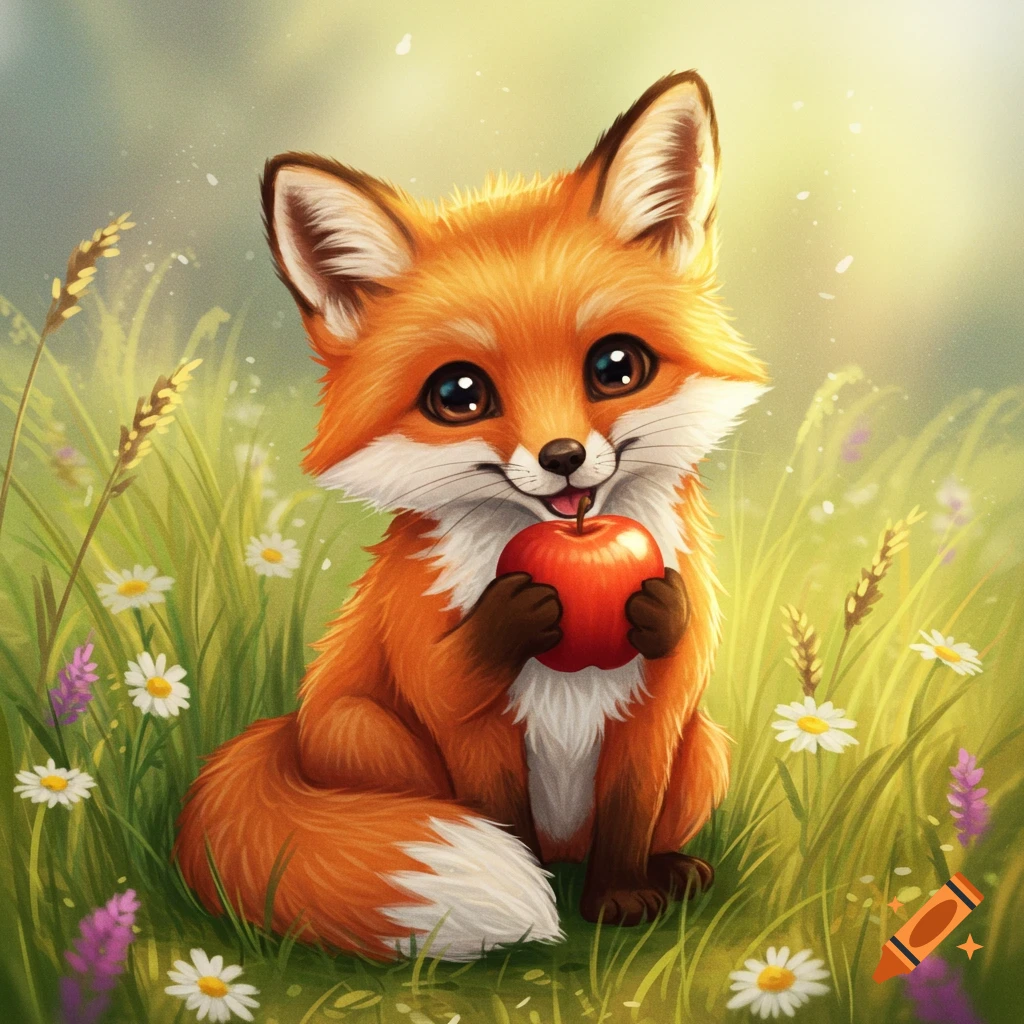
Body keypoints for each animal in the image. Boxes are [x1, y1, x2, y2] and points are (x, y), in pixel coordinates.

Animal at [174, 70, 768, 961]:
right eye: (459, 394)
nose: (563, 457)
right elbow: (487, 780)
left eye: (616, 366)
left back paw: (664, 872)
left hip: (706, 751)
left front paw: (620, 898)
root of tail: (286, 728)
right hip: (363, 729)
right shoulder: (460, 712)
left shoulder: (659, 713)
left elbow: (630, 810)